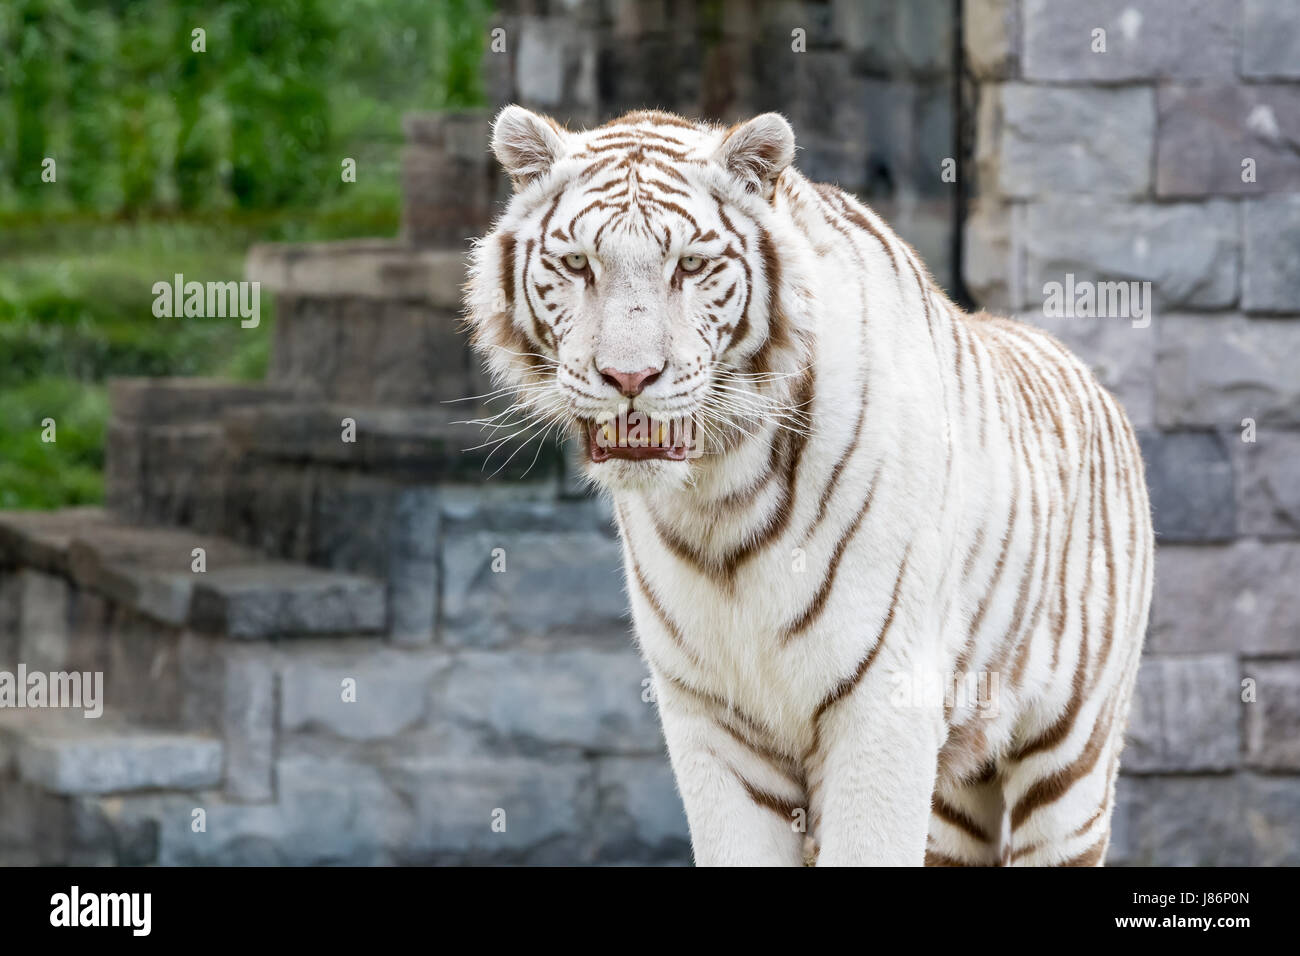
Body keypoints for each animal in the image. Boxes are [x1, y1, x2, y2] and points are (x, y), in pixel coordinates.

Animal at [463, 105, 1154, 867]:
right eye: (577, 264)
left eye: (691, 265)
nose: (629, 377)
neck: (717, 497)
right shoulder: (710, 717)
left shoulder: (884, 707)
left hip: (1072, 758)